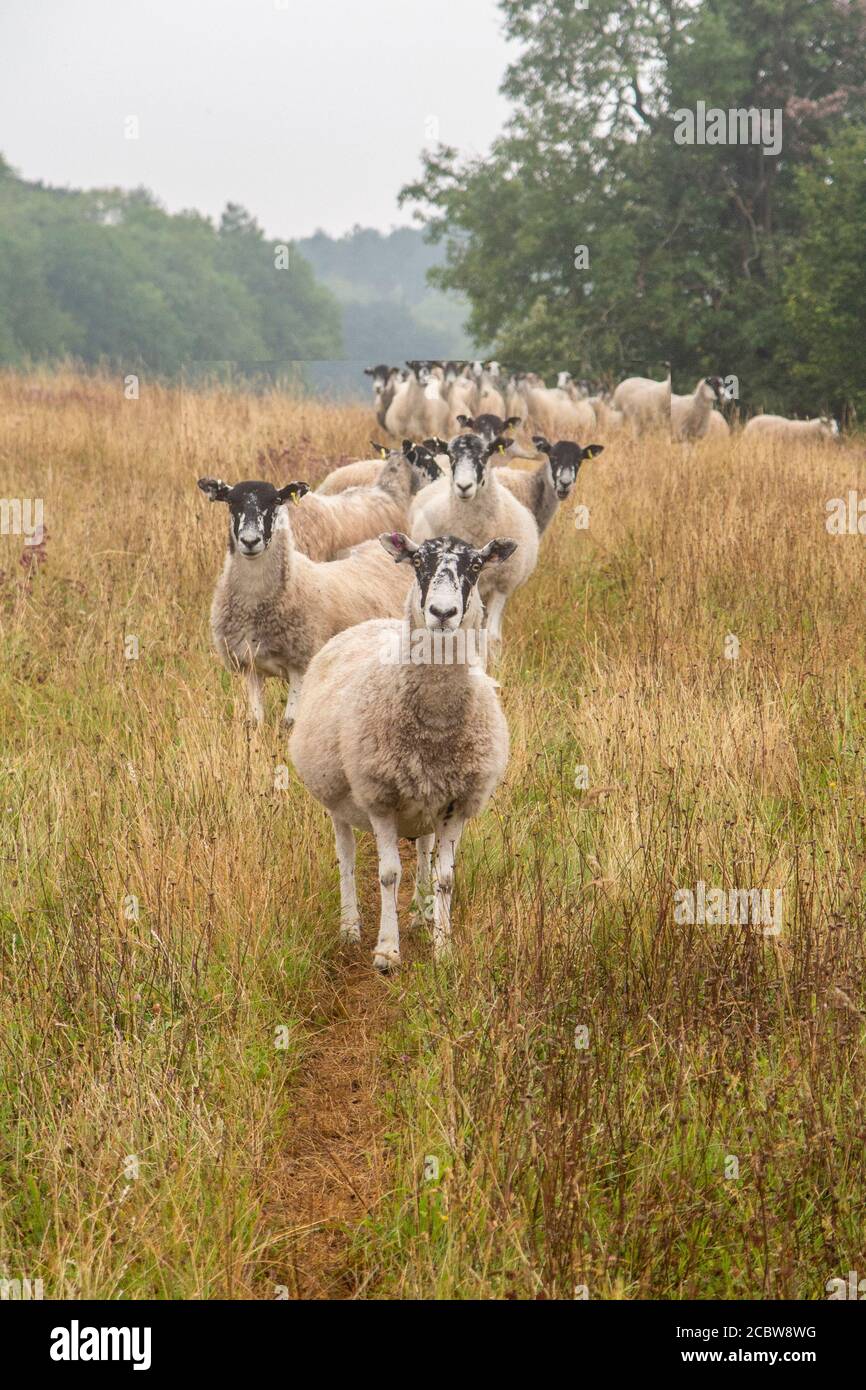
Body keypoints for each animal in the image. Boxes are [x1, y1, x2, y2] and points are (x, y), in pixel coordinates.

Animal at [197, 477, 413, 725]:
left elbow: (289, 721)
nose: (250, 541)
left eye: (276, 501)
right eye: (231, 502)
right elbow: (256, 720)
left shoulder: (301, 664)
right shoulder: (249, 664)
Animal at [288, 531, 514, 970]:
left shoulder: (456, 801)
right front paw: (386, 951)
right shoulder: (380, 798)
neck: (435, 724)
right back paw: (350, 927)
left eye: (476, 565)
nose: (442, 613)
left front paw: (443, 948)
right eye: (418, 562)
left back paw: (420, 914)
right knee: (346, 857)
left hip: (425, 803)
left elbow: (446, 877)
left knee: (424, 851)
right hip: (337, 798)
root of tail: (373, 622)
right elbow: (388, 874)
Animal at [409, 432, 539, 644]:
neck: (476, 531)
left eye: (485, 455)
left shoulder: (502, 587)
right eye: (451, 455)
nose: (464, 486)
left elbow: (492, 637)